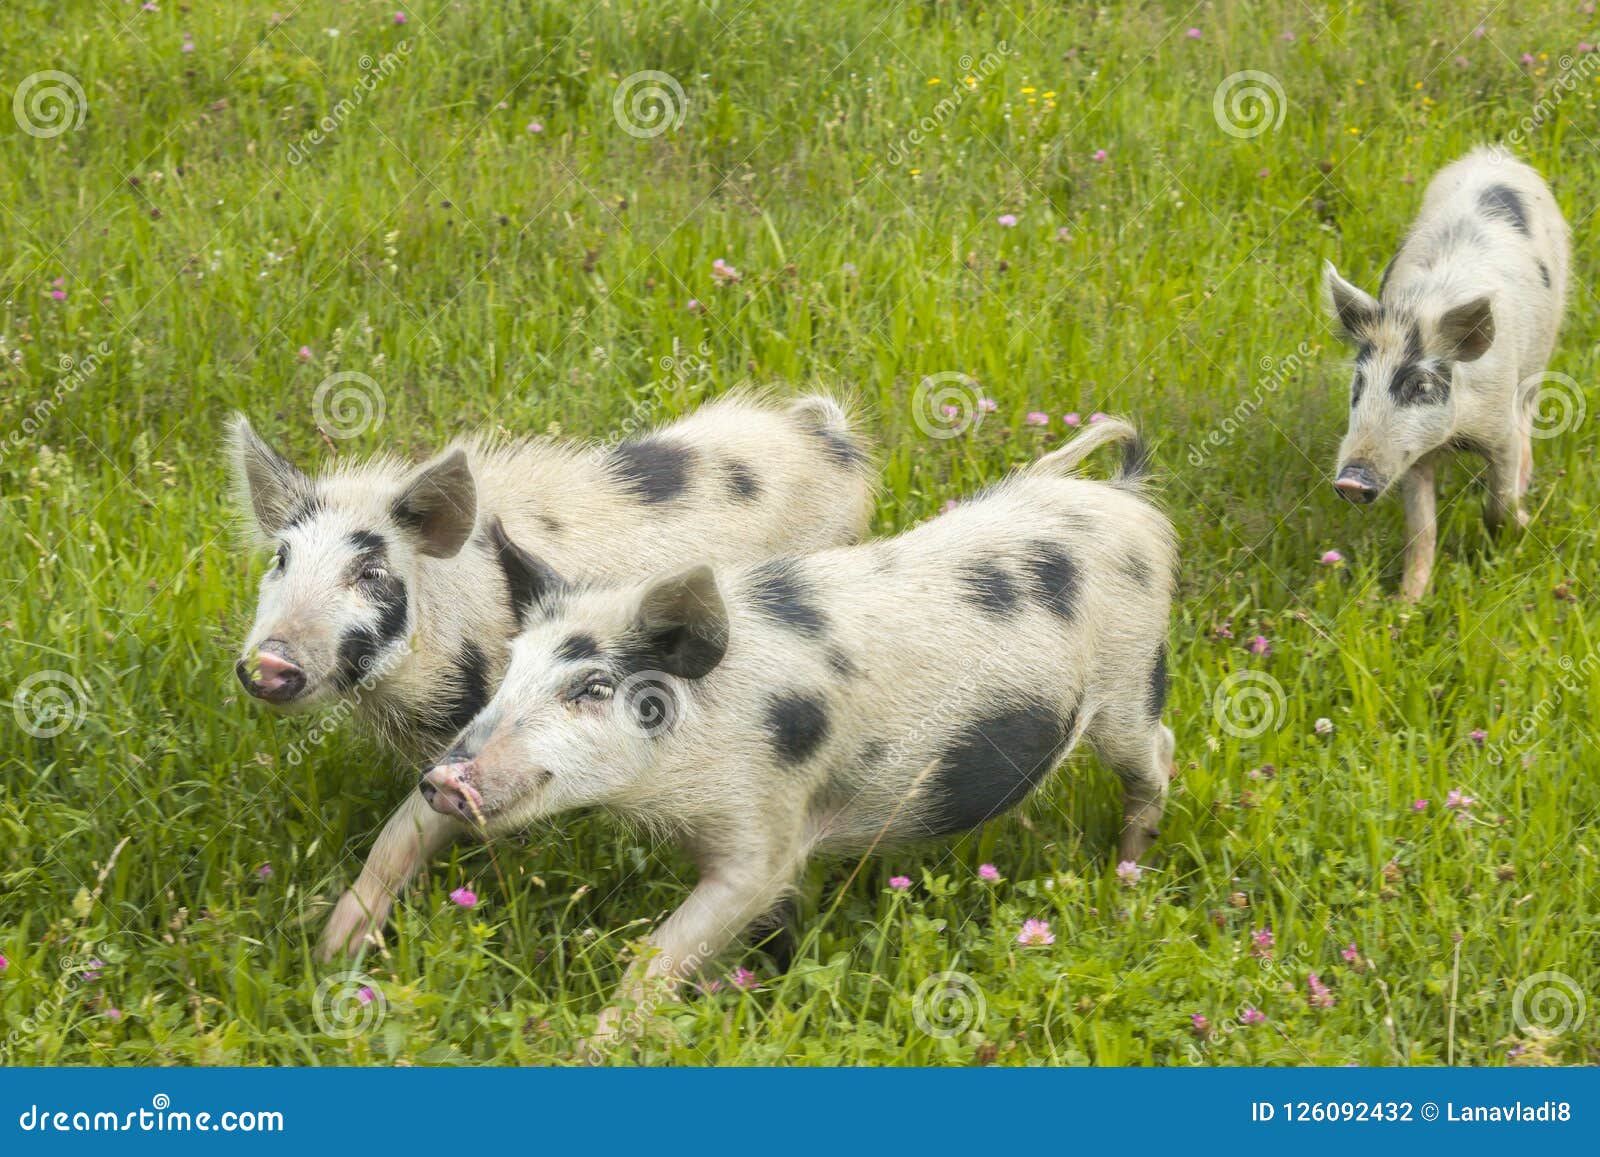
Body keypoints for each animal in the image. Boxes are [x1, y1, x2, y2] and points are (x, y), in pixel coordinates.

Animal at [225, 392, 877, 958]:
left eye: (371, 573)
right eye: (281, 558)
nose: (270, 661)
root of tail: (825, 434)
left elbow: (405, 830)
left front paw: (332, 954)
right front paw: (327, 955)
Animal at [418, 417, 1175, 1051]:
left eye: (594, 688)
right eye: (511, 668)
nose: (441, 778)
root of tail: (1126, 494)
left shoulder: (765, 831)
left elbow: (661, 955)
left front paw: (586, 1050)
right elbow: (772, 924)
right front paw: (772, 980)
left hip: (1131, 680)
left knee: (1158, 755)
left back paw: (1128, 881)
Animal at [1323, 146, 1569, 600]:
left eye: (1421, 386)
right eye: (1360, 384)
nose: (1350, 481)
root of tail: (1495, 154)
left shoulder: (1499, 428)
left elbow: (1500, 500)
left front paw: (1518, 531)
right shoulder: (1413, 457)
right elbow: (1421, 529)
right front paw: (1405, 603)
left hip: (1541, 350)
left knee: (1530, 410)